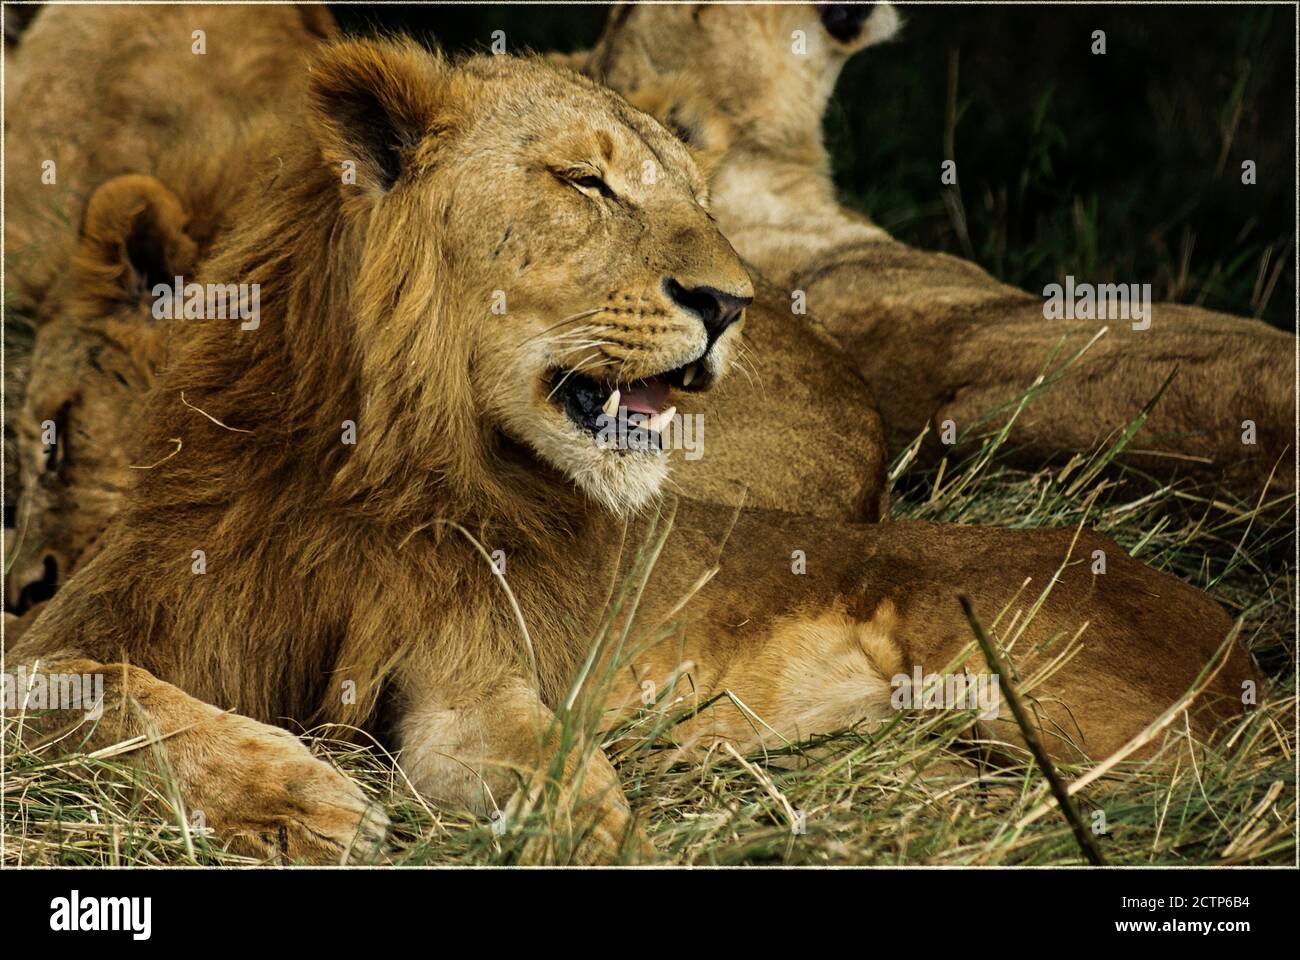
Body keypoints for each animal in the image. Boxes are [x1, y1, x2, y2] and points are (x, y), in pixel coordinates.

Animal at [11, 38, 1254, 864]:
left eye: (702, 200)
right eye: (585, 181)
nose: (731, 302)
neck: (381, 473)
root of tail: (1232, 625)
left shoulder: (474, 664)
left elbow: (547, 759)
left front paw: (591, 828)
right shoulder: (90, 635)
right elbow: (111, 696)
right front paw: (294, 798)